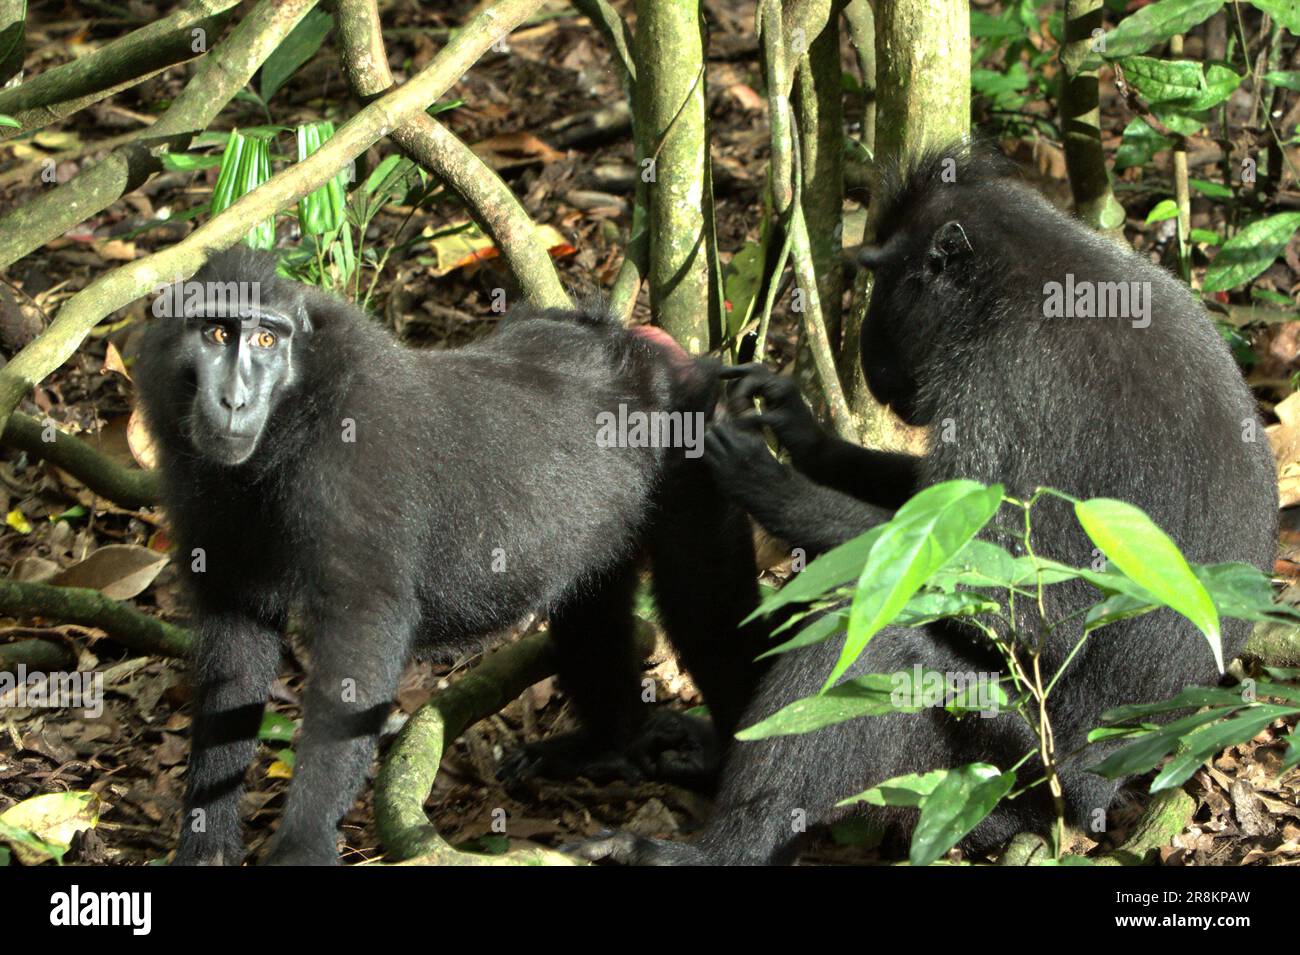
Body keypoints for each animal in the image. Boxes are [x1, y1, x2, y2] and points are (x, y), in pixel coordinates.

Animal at [134, 246, 767, 866]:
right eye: (217, 332)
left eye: (267, 339)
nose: (233, 401)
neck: (298, 413)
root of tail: (645, 348)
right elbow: (236, 642)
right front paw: (207, 843)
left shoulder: (352, 460)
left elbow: (363, 633)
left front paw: (302, 844)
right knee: (593, 603)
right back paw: (611, 746)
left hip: (693, 443)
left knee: (703, 605)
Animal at [572, 145, 1279, 865]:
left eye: (881, 277)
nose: (869, 359)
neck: (1020, 277)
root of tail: (1099, 798)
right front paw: (798, 427)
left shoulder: (1006, 382)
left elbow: (1030, 610)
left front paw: (771, 482)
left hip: (1013, 767)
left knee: (881, 647)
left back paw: (725, 845)